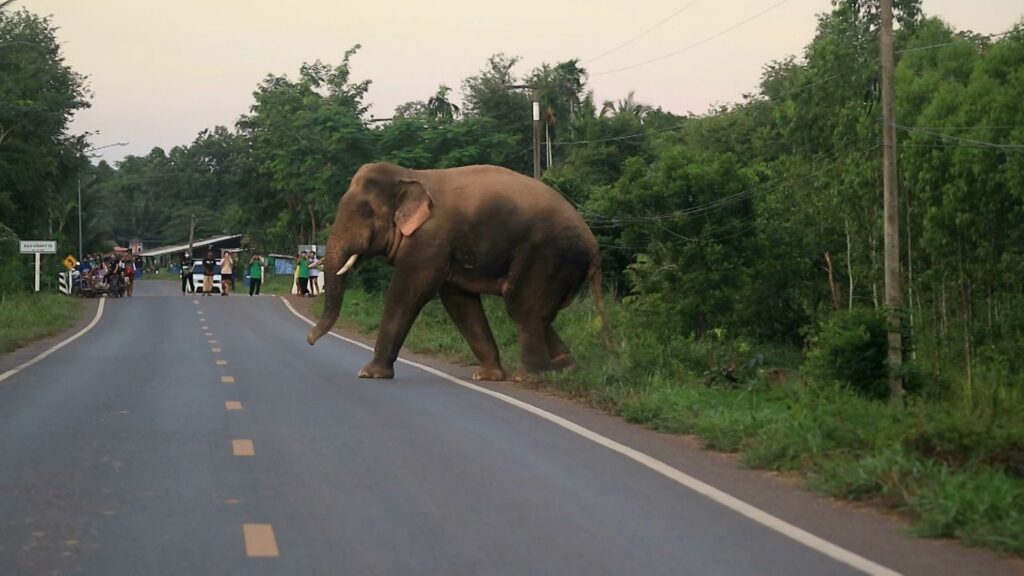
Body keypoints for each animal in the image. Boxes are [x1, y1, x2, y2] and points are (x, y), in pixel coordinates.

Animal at [307, 162, 613, 381]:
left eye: (365, 212)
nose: (309, 341)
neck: (410, 174)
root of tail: (594, 247)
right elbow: (458, 300)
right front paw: (487, 376)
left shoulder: (430, 241)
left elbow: (408, 291)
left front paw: (369, 373)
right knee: (540, 314)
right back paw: (565, 368)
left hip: (546, 254)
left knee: (523, 308)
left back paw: (529, 378)